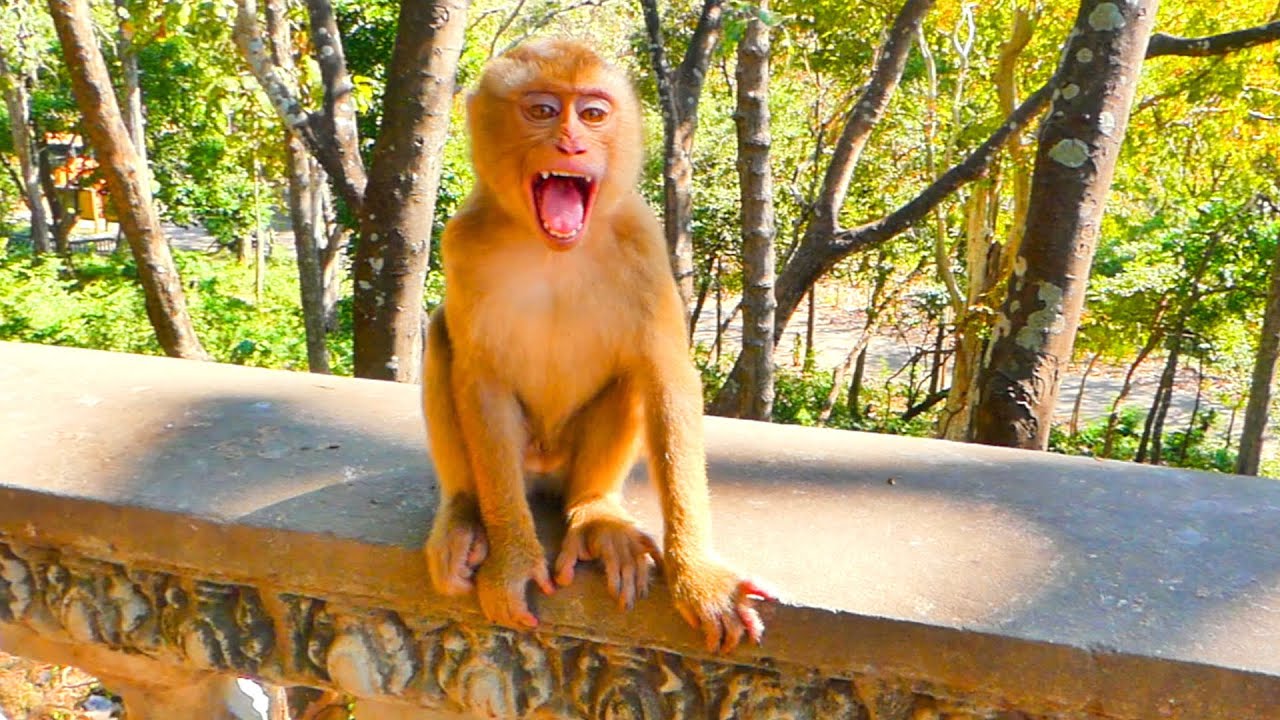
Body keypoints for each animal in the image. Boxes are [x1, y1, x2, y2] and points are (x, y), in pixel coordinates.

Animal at [421, 39, 772, 653]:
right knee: (443, 336)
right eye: (542, 111)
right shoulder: (460, 242)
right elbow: (480, 377)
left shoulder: (643, 238)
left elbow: (665, 376)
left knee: (632, 374)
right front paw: (512, 561)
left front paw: (698, 577)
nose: (571, 143)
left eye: (591, 113)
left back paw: (595, 517)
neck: (552, 249)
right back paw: (465, 513)